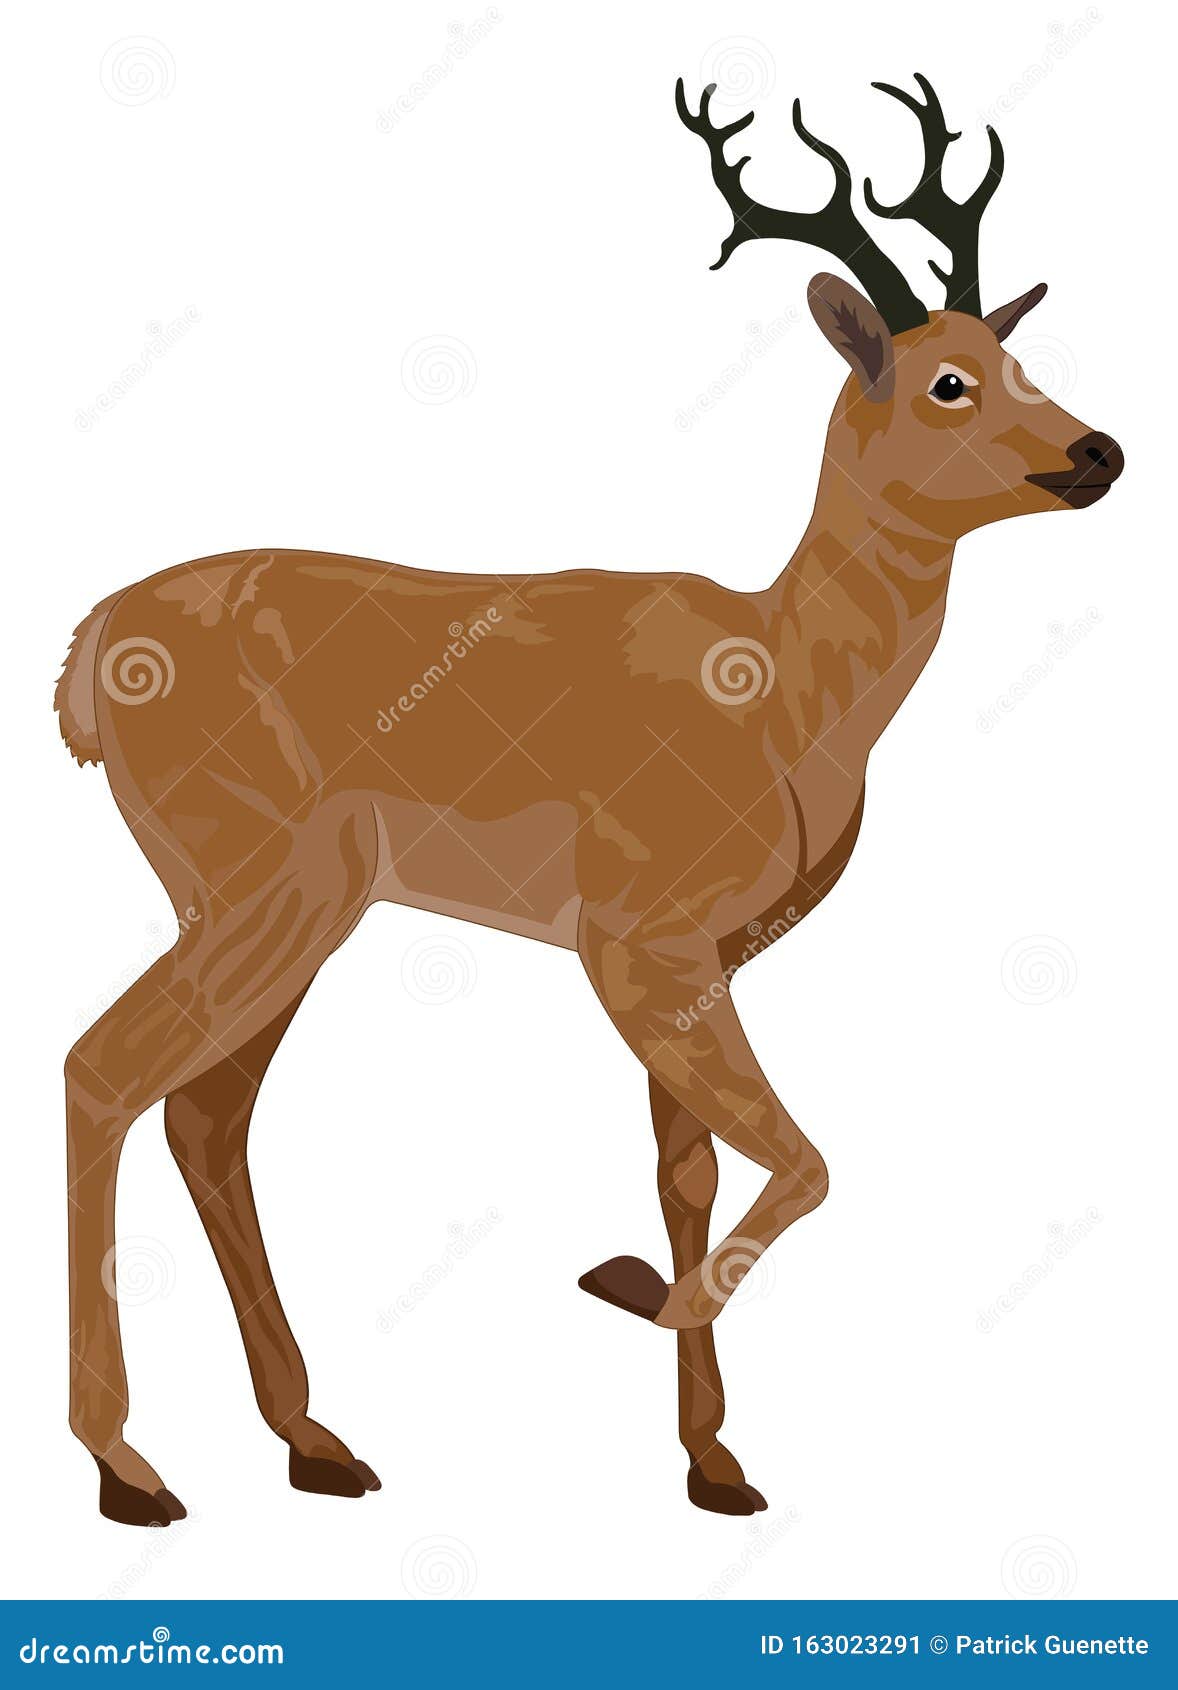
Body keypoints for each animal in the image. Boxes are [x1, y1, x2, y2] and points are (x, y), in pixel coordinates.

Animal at [56, 71, 1122, 1526]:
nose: (1098, 451)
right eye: (947, 381)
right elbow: (805, 1159)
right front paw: (627, 1294)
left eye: (1020, 362)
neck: (782, 694)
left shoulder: (705, 953)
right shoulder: (636, 932)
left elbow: (692, 1172)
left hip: (257, 899)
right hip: (265, 876)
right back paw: (129, 1466)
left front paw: (715, 1461)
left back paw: (314, 1440)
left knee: (205, 1114)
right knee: (103, 1068)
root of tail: (84, 660)